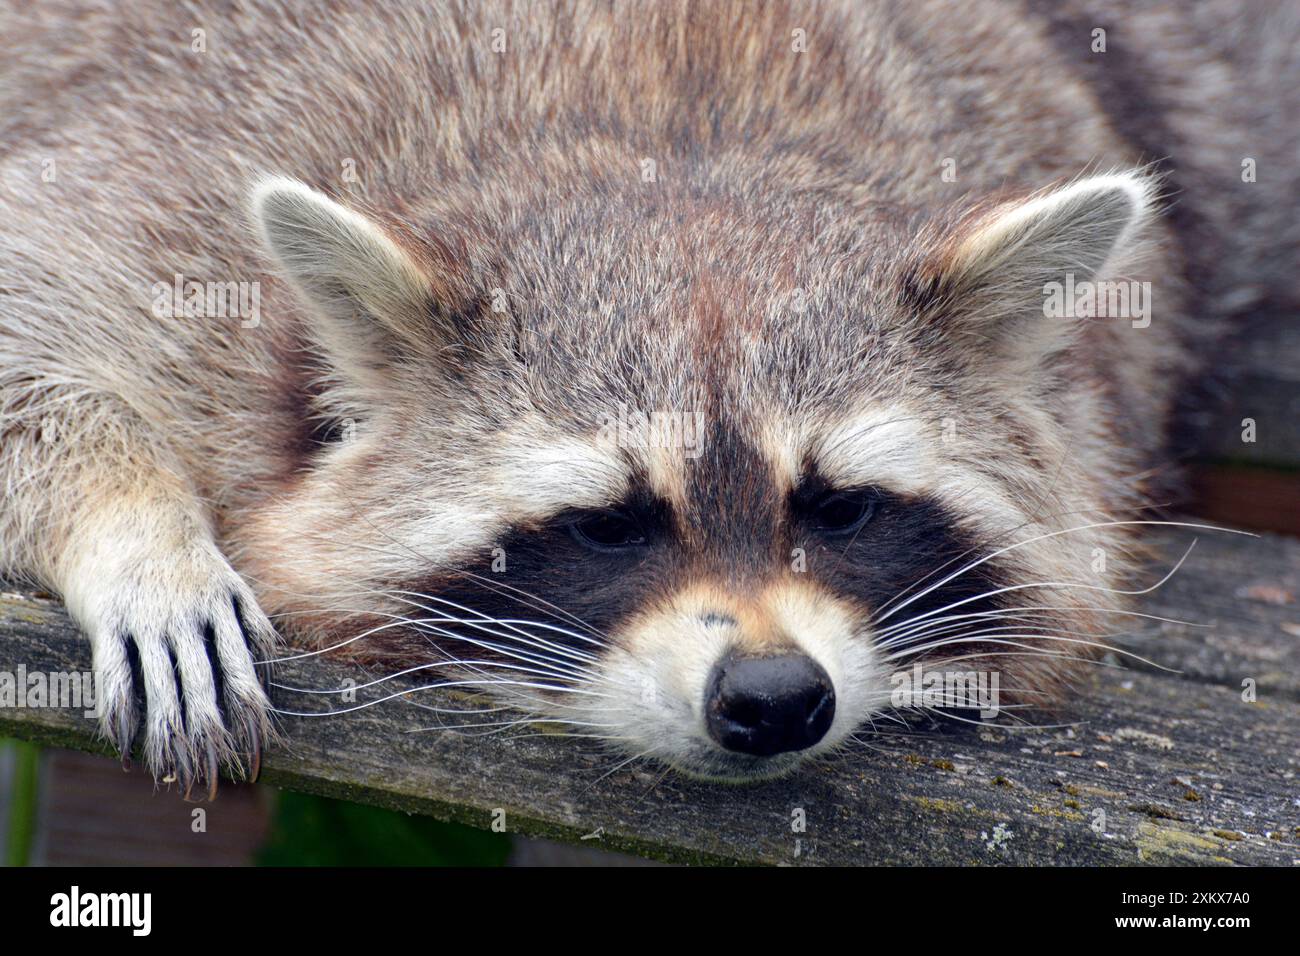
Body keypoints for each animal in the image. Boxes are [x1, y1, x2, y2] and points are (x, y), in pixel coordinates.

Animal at [1, 0, 1296, 795]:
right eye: (607, 524)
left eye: (840, 508)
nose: (773, 697)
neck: (672, 145)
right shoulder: (180, 212)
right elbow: (33, 308)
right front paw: (138, 528)